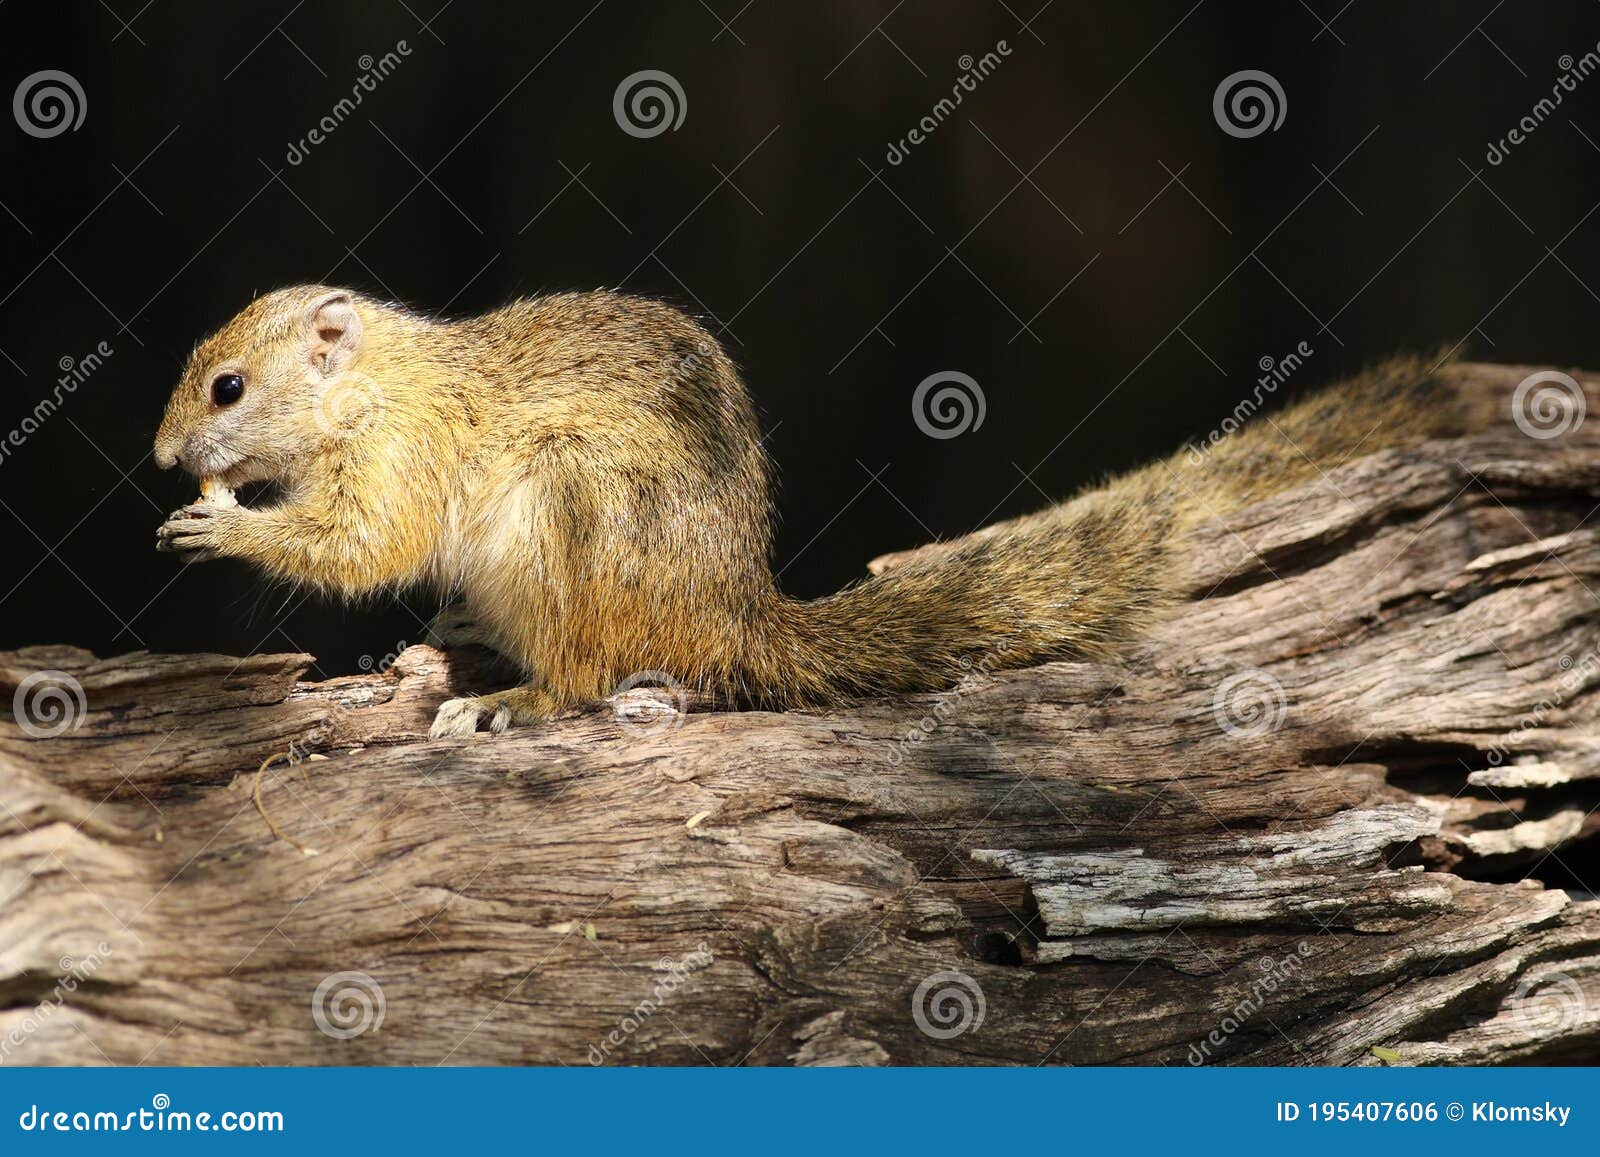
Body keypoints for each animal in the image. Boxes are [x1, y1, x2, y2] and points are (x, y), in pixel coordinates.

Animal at [153, 285, 1470, 738]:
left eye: (229, 386)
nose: (163, 454)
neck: (382, 380)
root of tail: (730, 613)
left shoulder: (402, 461)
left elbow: (361, 543)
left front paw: (226, 523)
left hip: (569, 516)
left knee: (589, 673)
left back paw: (516, 696)